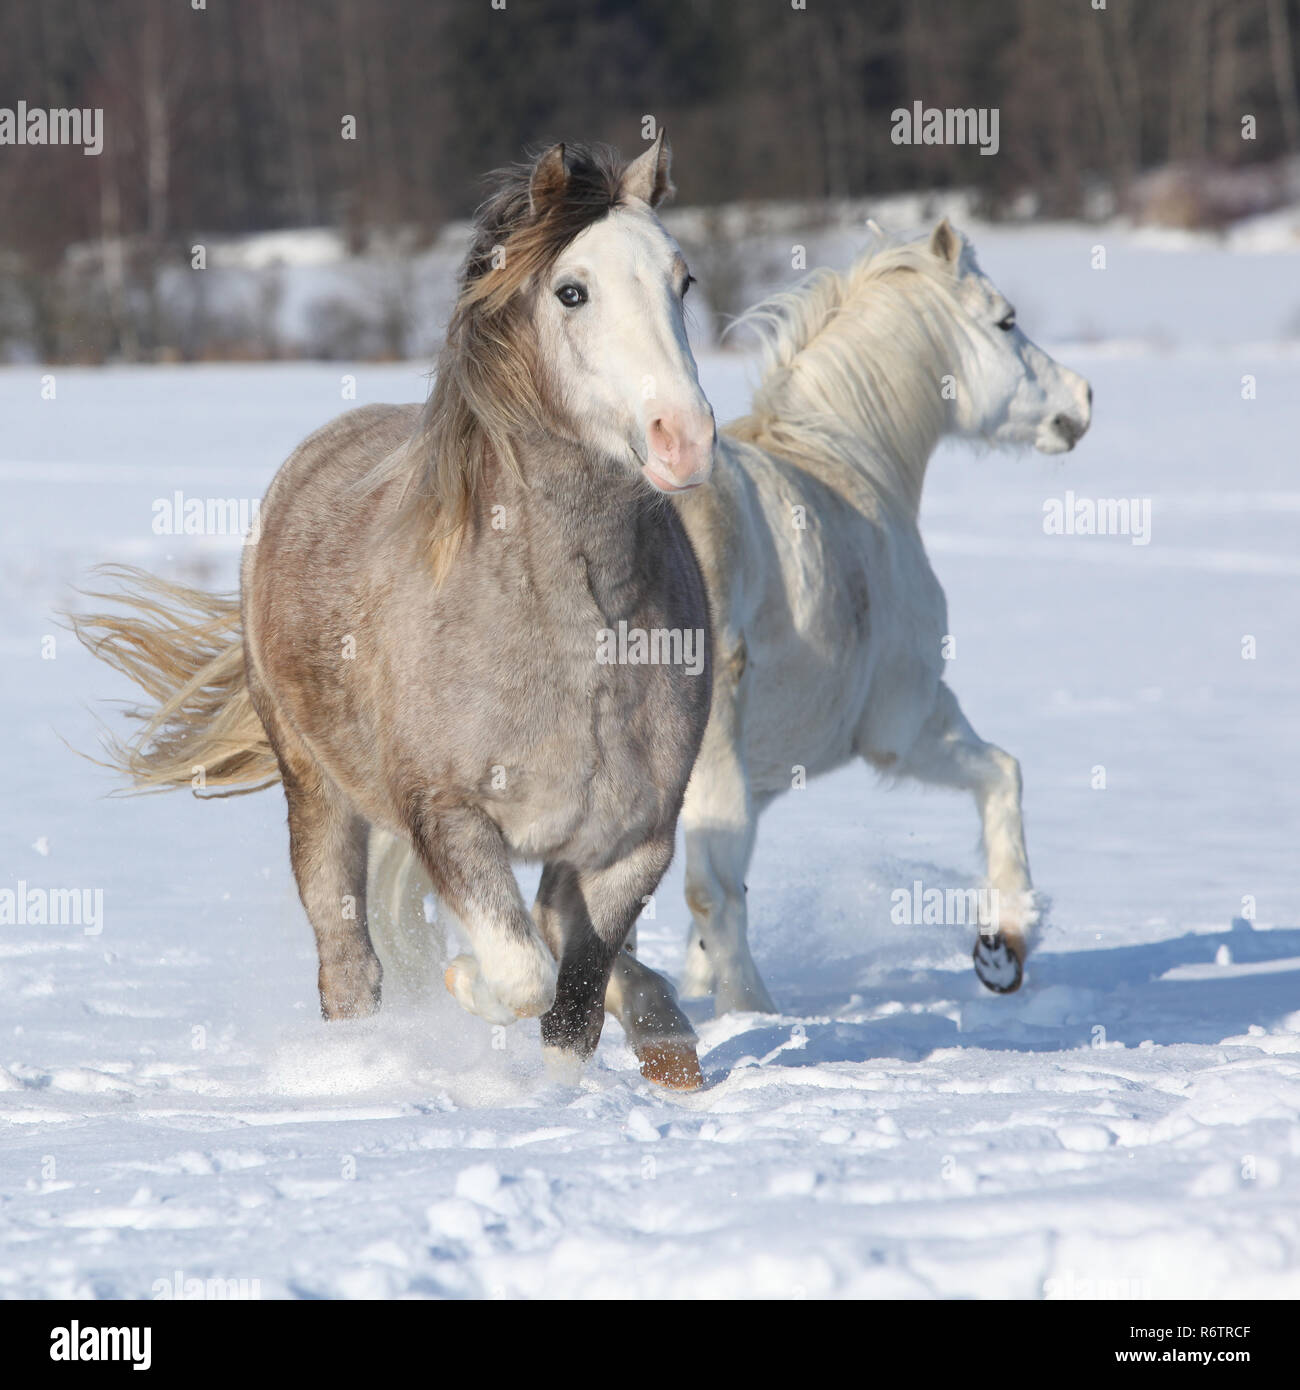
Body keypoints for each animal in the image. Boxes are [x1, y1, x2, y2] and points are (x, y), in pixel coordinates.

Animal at [72, 136, 719, 1090]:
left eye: (683, 279)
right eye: (573, 291)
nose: (685, 438)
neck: (573, 629)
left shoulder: (632, 845)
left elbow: (568, 1005)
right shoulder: (447, 814)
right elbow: (520, 972)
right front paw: (466, 984)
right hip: (321, 801)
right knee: (352, 964)